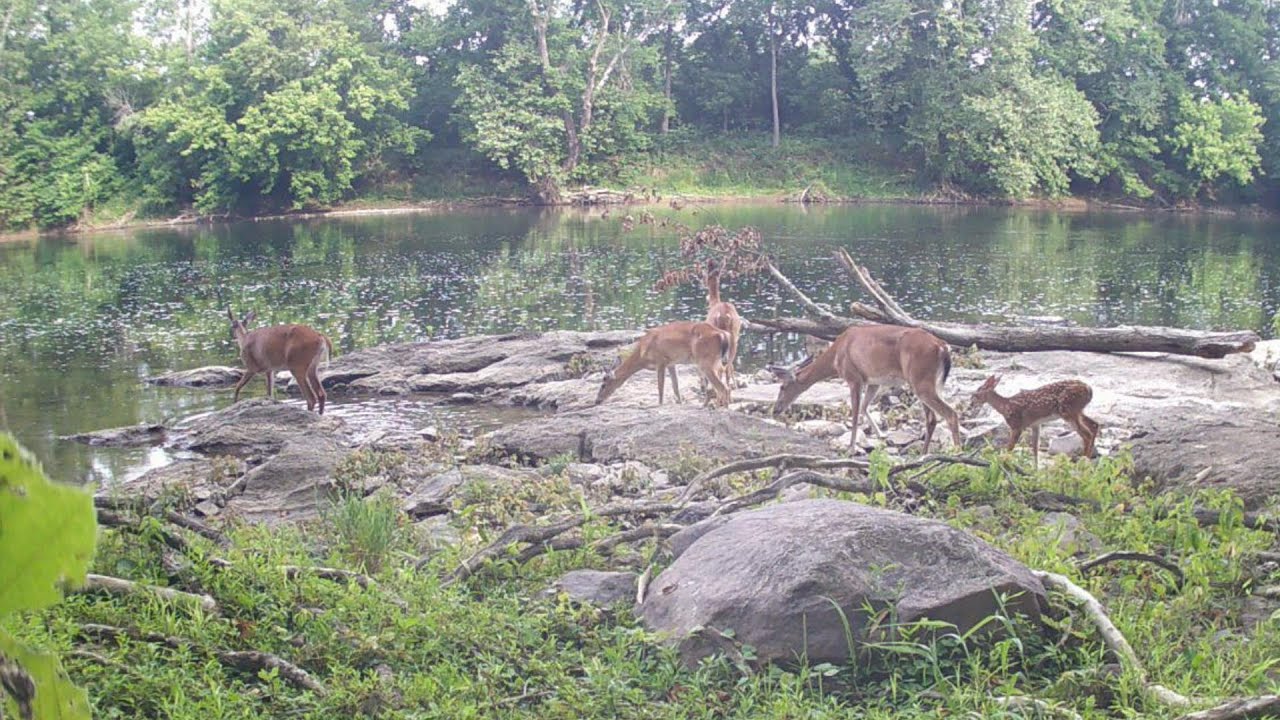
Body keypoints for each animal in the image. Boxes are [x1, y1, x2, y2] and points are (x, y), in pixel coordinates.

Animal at [595, 321, 732, 408]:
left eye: (603, 384)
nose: (597, 401)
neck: (642, 353)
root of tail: (722, 334)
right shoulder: (671, 363)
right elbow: (675, 386)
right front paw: (679, 403)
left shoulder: (660, 361)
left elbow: (660, 386)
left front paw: (659, 404)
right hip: (716, 361)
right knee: (723, 384)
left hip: (705, 361)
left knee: (723, 388)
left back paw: (721, 409)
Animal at [703, 259, 744, 390]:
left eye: (706, 275)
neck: (714, 302)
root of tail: (725, 315)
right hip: (734, 336)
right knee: (729, 363)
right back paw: (732, 385)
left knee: (721, 366)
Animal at [768, 324, 962, 454]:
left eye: (782, 386)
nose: (776, 409)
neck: (836, 358)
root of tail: (942, 347)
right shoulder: (873, 381)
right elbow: (864, 407)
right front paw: (881, 435)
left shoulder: (853, 377)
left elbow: (854, 415)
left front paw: (851, 448)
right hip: (929, 382)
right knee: (932, 419)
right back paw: (923, 455)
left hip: (921, 380)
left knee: (950, 414)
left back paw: (958, 454)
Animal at [969, 375, 1099, 467]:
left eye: (976, 392)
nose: (971, 403)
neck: (1005, 406)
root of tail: (1089, 389)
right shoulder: (1036, 424)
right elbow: (1035, 448)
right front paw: (1035, 470)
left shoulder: (1016, 425)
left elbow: (1010, 447)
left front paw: (1002, 463)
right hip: (1077, 410)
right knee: (1094, 425)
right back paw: (1087, 462)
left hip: (1068, 410)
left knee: (1086, 434)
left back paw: (1082, 464)